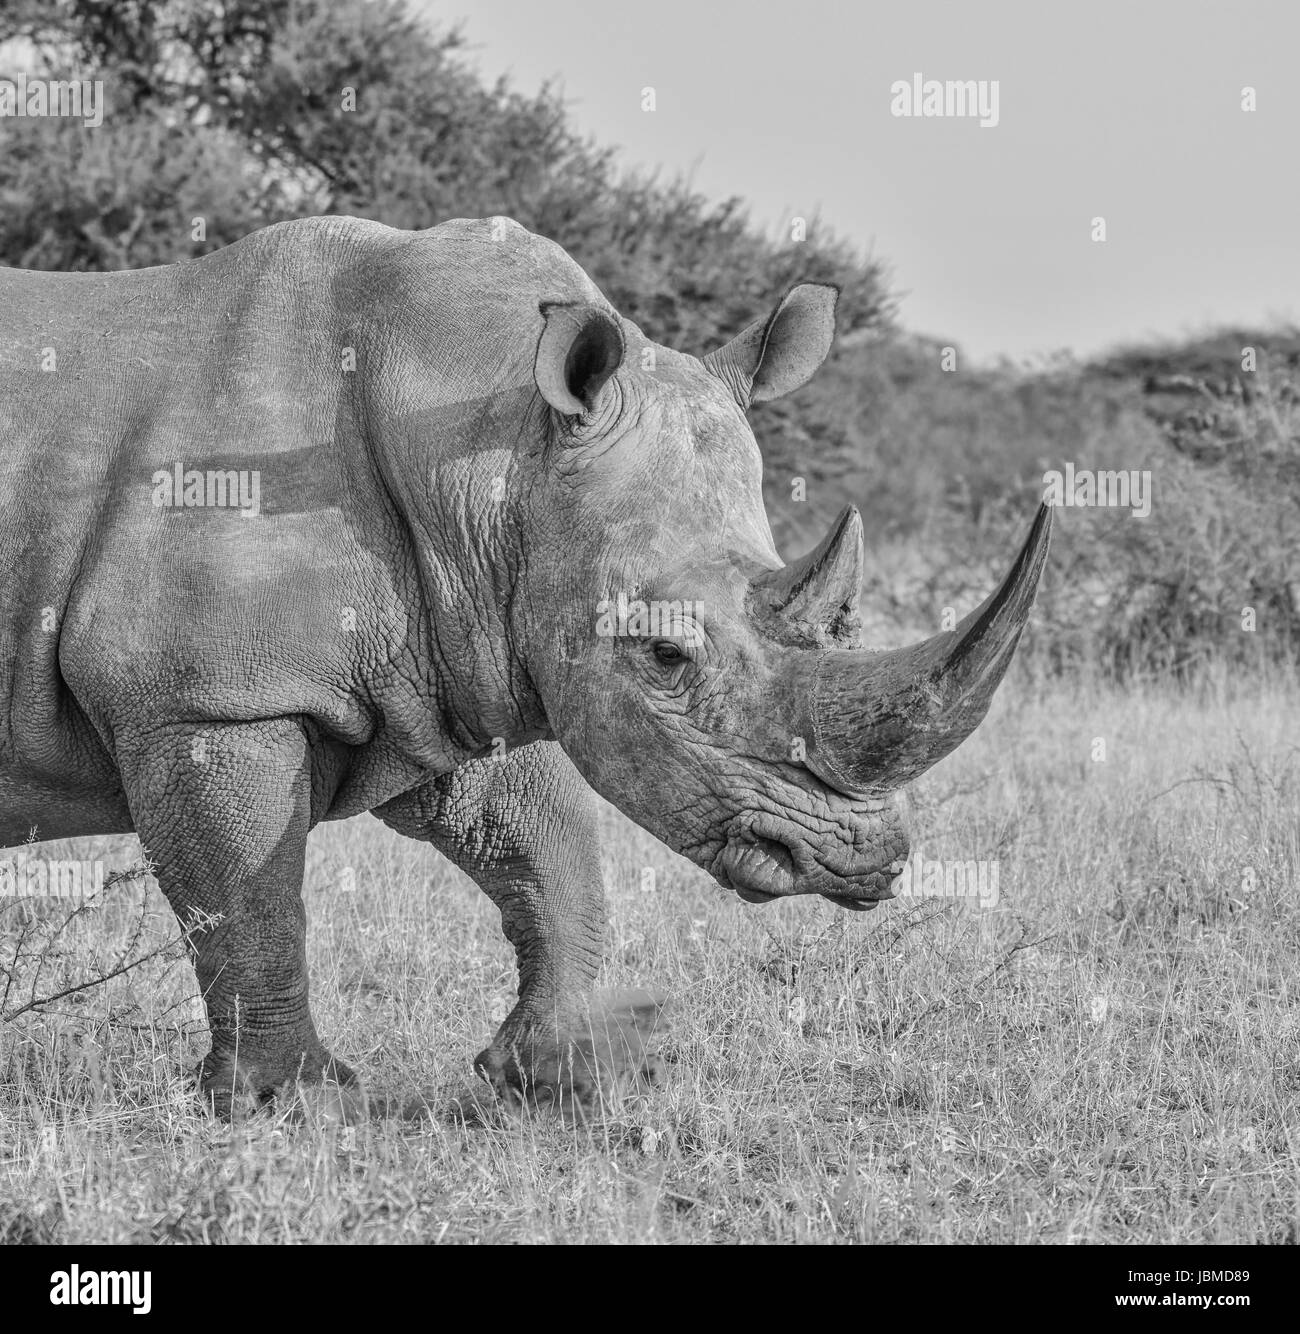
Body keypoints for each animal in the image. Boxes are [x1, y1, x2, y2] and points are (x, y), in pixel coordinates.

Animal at [0, 215, 1050, 1115]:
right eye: (666, 655)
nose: (863, 859)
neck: (491, 451)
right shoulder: (208, 702)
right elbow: (248, 900)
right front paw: (295, 1104)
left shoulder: (462, 654)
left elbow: (548, 848)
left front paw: (563, 1070)